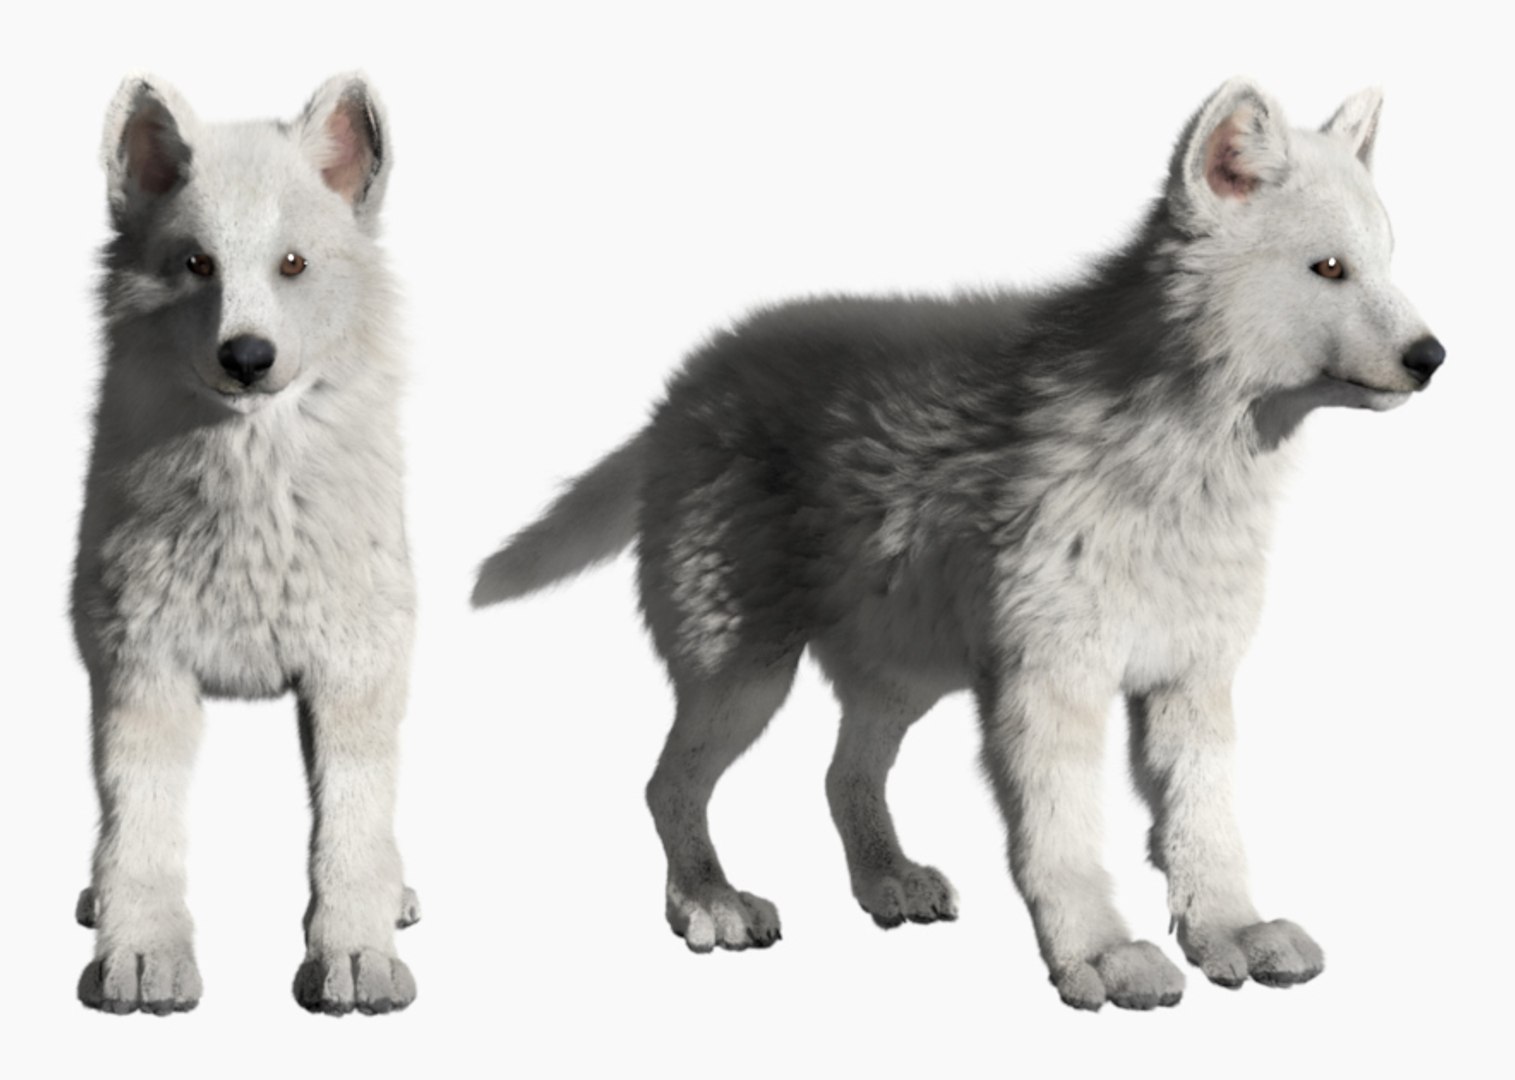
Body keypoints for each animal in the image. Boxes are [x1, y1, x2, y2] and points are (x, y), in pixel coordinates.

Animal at [73, 74, 419, 1015]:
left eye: (291, 265)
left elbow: (349, 833)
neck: (253, 509)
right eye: (198, 265)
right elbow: (140, 832)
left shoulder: (349, 673)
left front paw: (354, 955)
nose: (248, 357)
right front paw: (141, 955)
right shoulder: (142, 673)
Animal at [473, 78, 1442, 1011]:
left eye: (1387, 263)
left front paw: (1231, 935)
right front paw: (1099, 956)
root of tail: (680, 390)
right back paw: (710, 900)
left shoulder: (1187, 683)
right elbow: (1061, 839)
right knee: (667, 783)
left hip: (903, 675)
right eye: (1329, 268)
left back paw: (885, 881)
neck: (1176, 463)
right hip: (745, 678)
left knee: (840, 776)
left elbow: (1206, 829)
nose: (1432, 356)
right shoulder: (1048, 687)